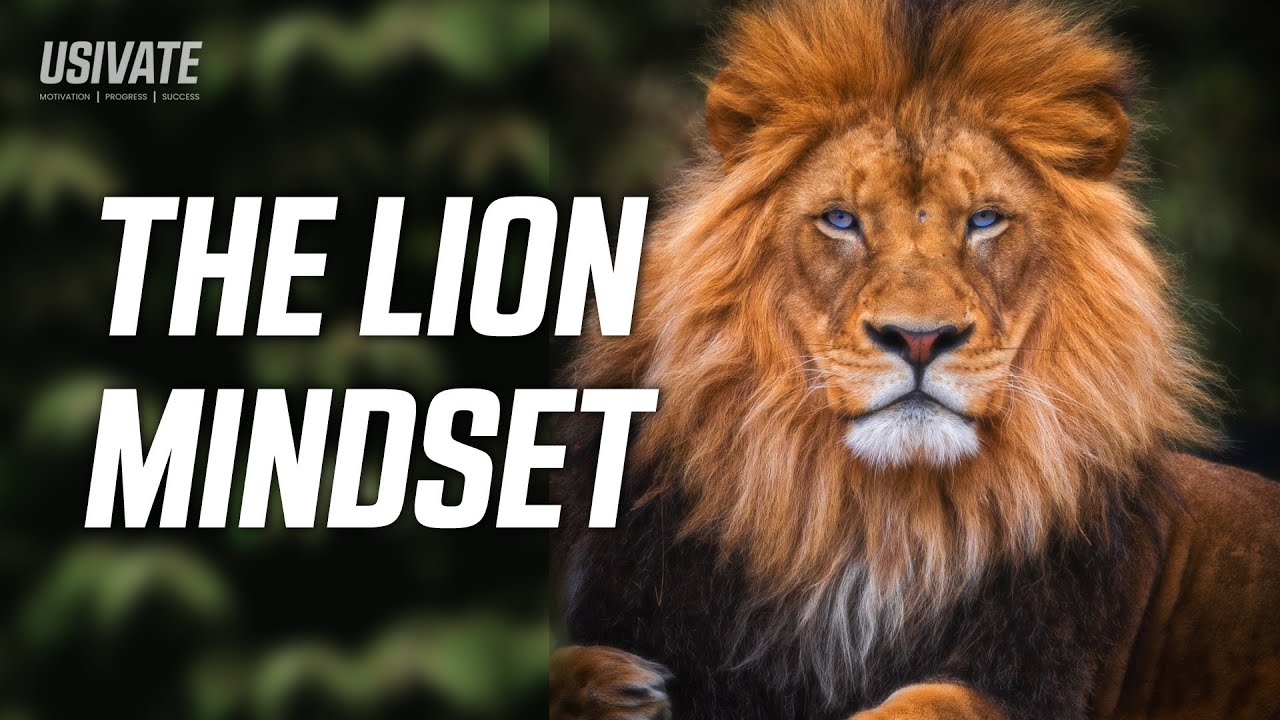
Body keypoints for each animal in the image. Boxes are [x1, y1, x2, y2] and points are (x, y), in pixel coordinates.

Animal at [550, 0, 1280, 718]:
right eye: (840, 219)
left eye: (984, 219)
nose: (920, 339)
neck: (875, 522)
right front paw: (617, 688)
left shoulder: (1028, 679)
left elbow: (923, 705)